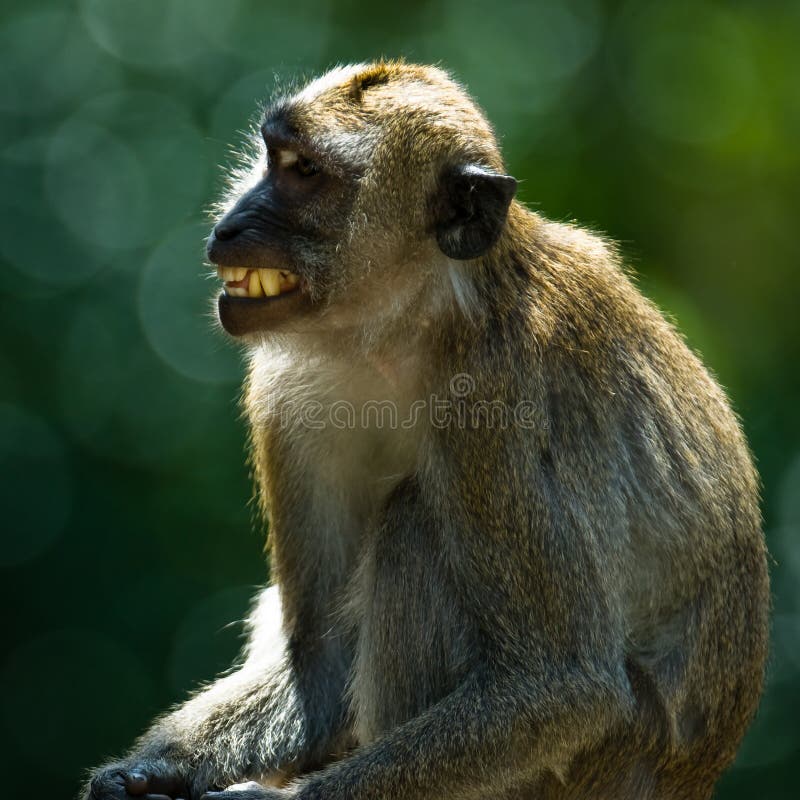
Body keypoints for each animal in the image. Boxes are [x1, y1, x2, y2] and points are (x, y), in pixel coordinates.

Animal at [84, 61, 769, 800]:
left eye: (304, 172)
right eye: (271, 158)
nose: (231, 223)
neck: (407, 327)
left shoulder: (495, 401)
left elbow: (562, 684)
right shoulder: (283, 394)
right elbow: (322, 667)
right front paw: (146, 770)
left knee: (416, 524)